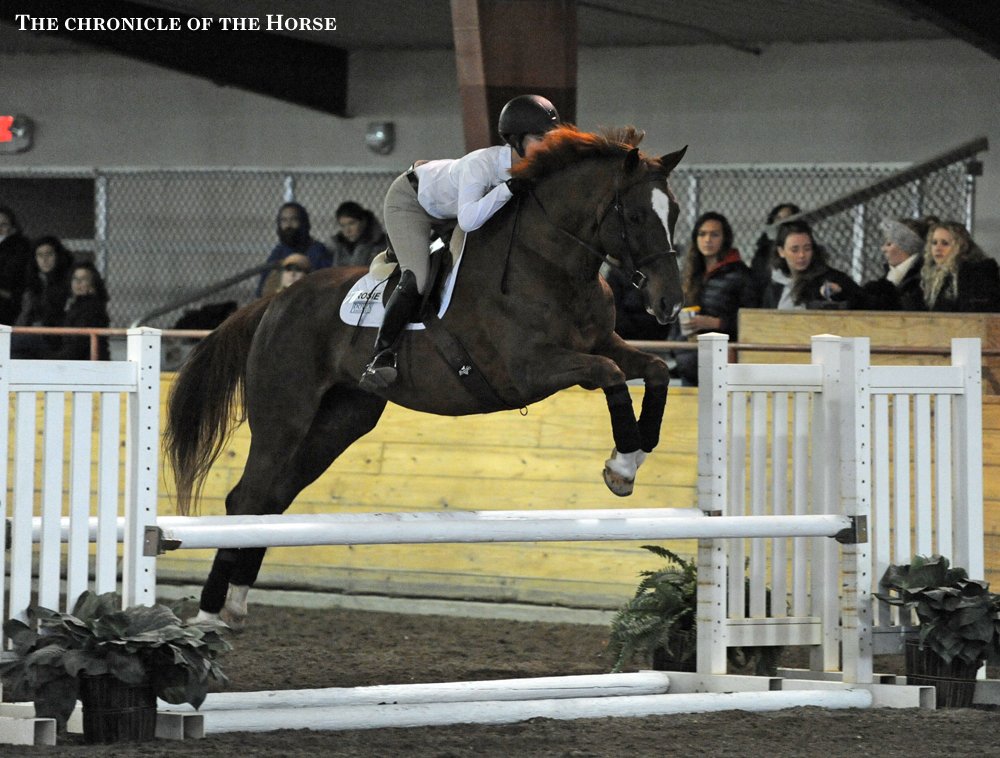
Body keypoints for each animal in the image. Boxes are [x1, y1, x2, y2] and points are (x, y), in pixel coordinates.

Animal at [165, 125, 687, 627]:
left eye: (676, 212)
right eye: (636, 216)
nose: (670, 305)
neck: (549, 264)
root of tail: (273, 303)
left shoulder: (601, 343)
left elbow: (655, 370)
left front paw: (635, 453)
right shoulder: (529, 368)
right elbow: (611, 376)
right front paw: (623, 465)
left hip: (340, 421)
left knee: (272, 497)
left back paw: (235, 601)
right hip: (283, 417)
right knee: (246, 498)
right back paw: (209, 612)